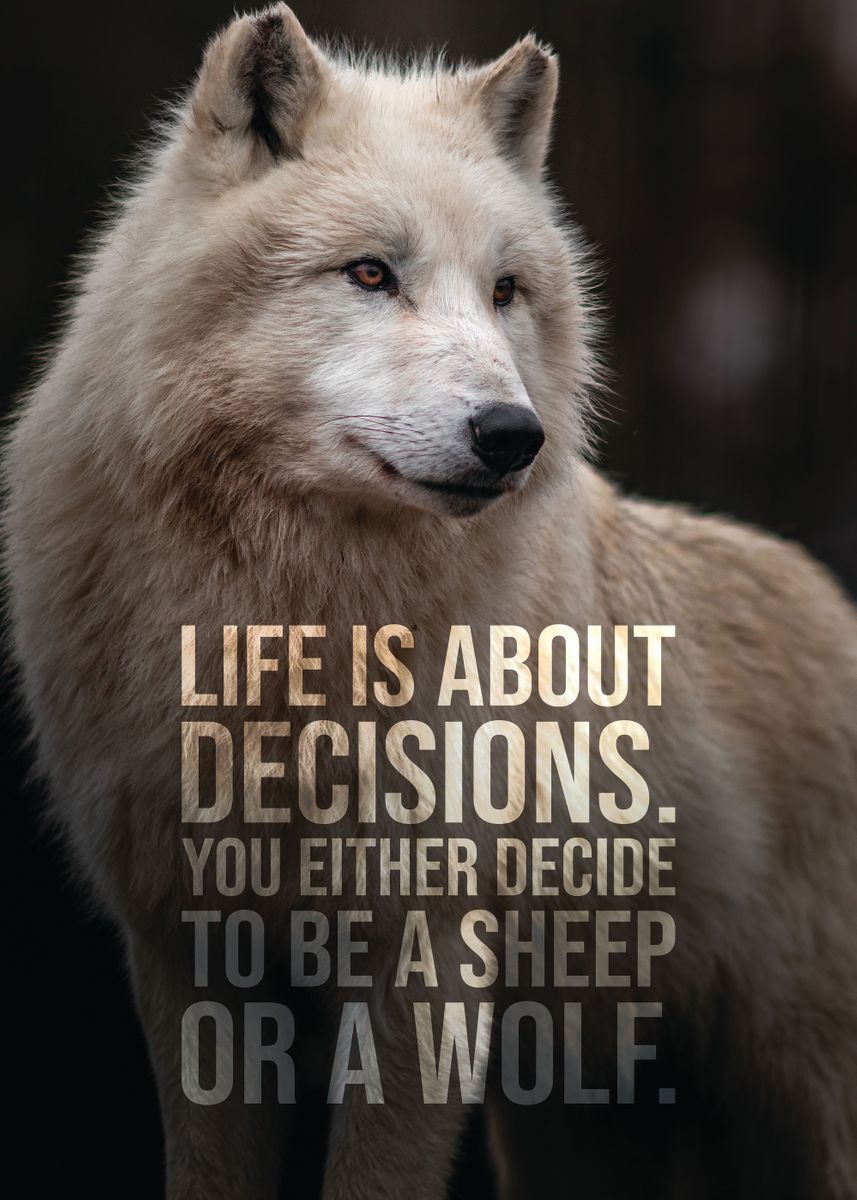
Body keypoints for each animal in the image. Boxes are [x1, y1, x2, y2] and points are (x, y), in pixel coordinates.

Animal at [4, 5, 857, 1198]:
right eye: (370, 273)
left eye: (504, 291)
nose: (511, 435)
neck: (289, 629)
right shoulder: (187, 953)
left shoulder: (426, 957)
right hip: (567, 1123)